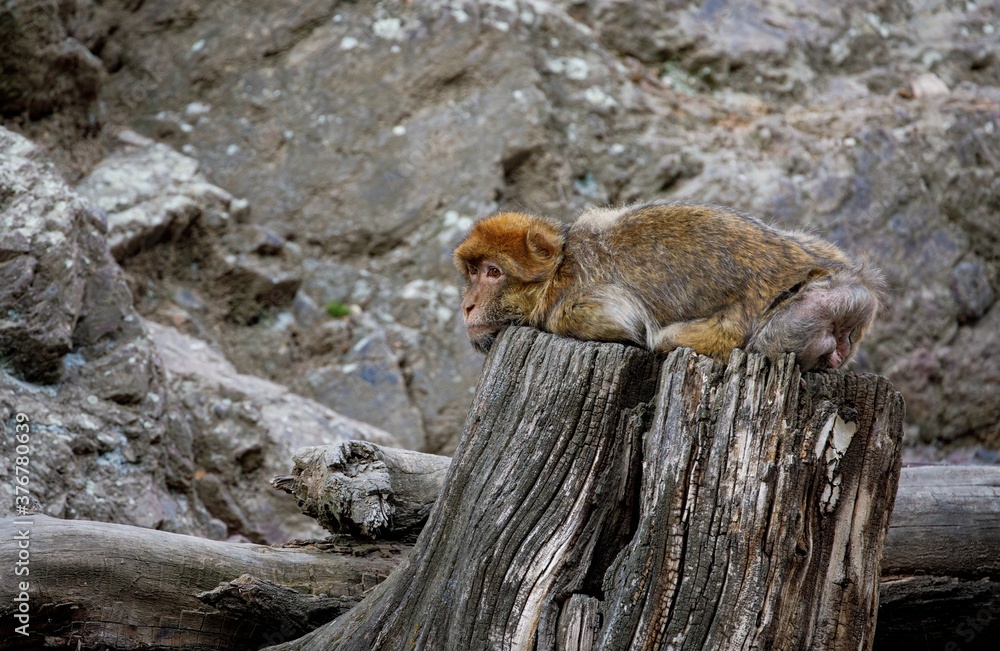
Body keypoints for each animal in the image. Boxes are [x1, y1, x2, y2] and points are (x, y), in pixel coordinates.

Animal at [453, 201, 885, 371]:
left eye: (493, 272)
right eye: (472, 272)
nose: (467, 306)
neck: (561, 269)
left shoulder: (579, 307)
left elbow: (629, 325)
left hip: (797, 314)